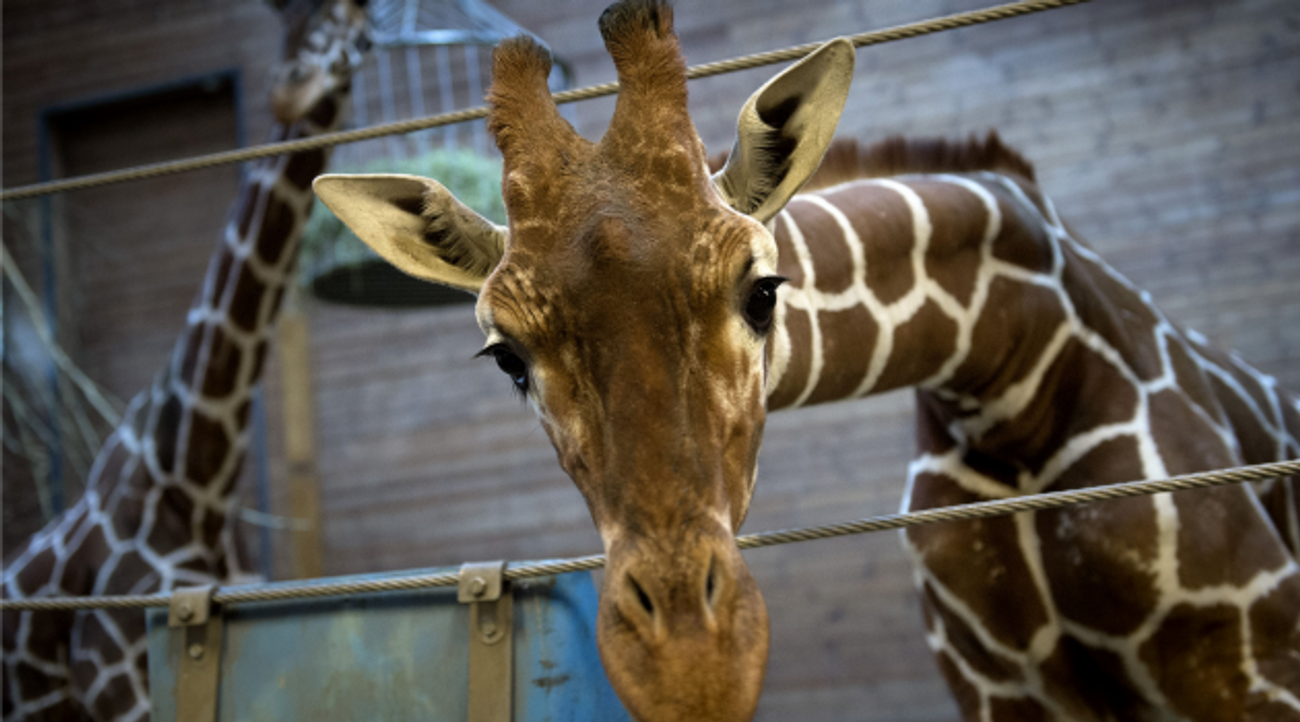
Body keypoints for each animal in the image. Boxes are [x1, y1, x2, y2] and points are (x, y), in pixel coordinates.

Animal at [314, 0, 1300, 720]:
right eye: (506, 358)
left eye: (762, 292)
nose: (690, 667)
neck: (1008, 375)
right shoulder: (1003, 691)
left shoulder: (1255, 664)